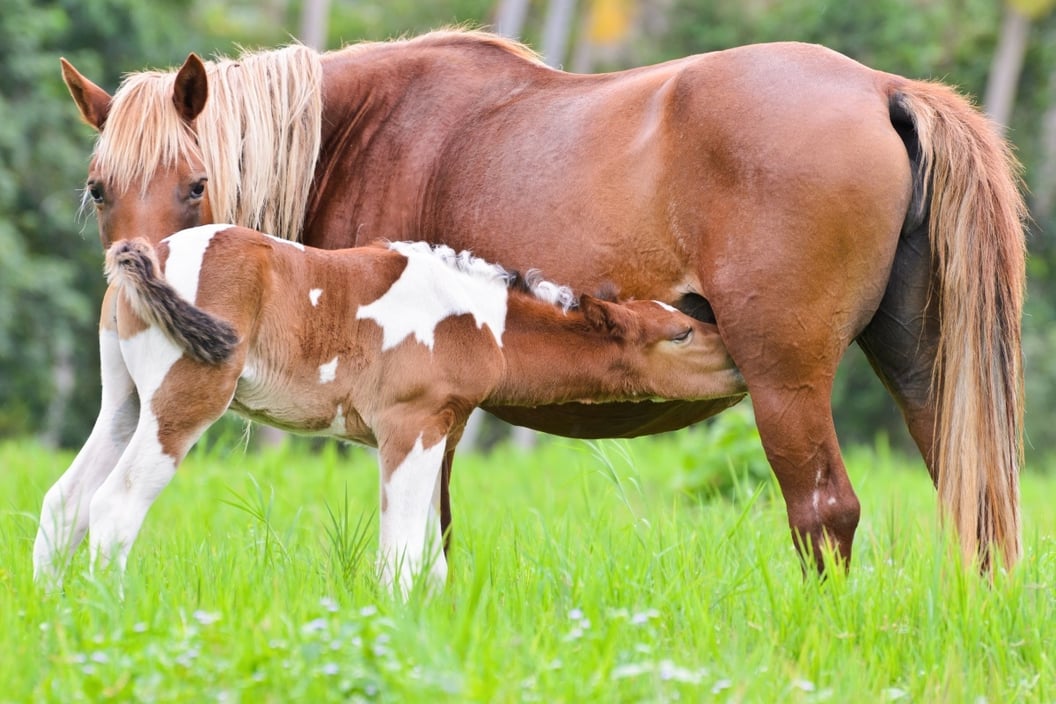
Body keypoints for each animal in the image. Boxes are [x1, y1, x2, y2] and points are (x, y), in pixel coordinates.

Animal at [32, 224, 745, 591]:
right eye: (681, 333)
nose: (742, 357)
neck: (476, 321)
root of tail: (147, 252)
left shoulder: (438, 434)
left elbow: (430, 560)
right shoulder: (410, 427)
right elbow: (401, 559)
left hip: (126, 402)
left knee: (66, 501)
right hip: (185, 399)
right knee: (115, 505)